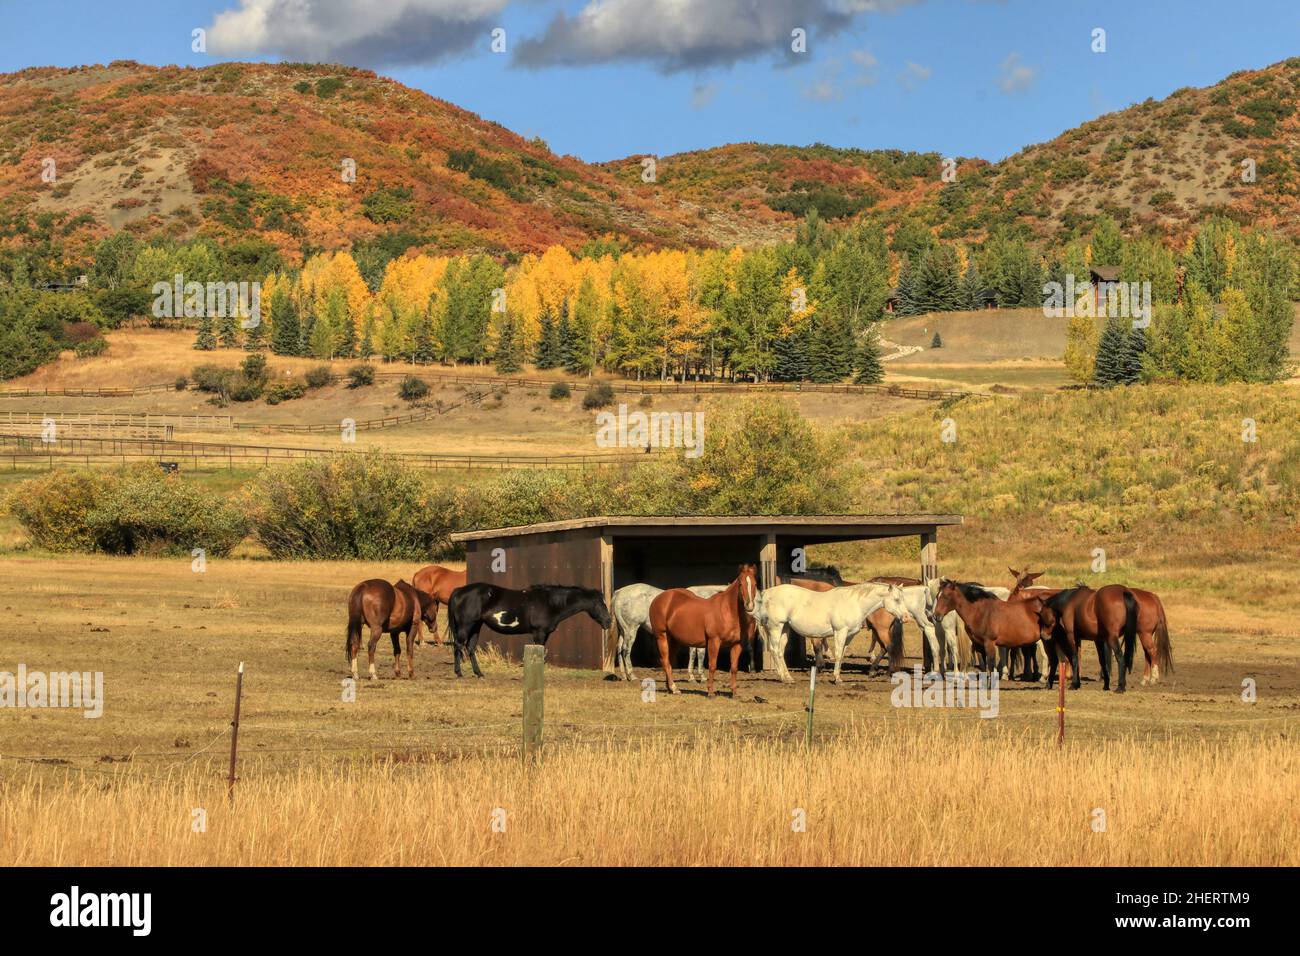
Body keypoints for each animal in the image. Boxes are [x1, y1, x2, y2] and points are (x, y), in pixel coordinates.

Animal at [446, 583, 611, 678]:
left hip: (476, 626)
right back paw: (459, 673)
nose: (609, 622)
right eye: (599, 604)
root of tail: (459, 591)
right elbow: (539, 652)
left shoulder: (544, 634)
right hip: (465, 625)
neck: (549, 602)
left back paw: (479, 673)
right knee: (458, 646)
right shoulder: (539, 633)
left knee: (470, 648)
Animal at [648, 565, 759, 697]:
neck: (728, 612)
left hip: (674, 640)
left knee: (669, 661)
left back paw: (670, 688)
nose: (749, 605)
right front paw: (710, 692)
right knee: (665, 661)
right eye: (741, 584)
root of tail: (659, 599)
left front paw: (734, 693)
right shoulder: (714, 641)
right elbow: (712, 666)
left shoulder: (737, 644)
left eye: (755, 584)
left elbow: (734, 667)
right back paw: (674, 688)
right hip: (662, 636)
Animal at [753, 581, 909, 684]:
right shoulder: (840, 632)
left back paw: (788, 677)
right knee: (774, 650)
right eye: (896, 599)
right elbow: (838, 654)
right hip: (776, 627)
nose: (906, 617)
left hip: (785, 628)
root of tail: (767, 593)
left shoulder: (849, 635)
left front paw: (838, 676)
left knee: (780, 651)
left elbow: (842, 655)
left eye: (903, 599)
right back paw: (782, 678)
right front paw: (836, 679)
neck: (854, 603)